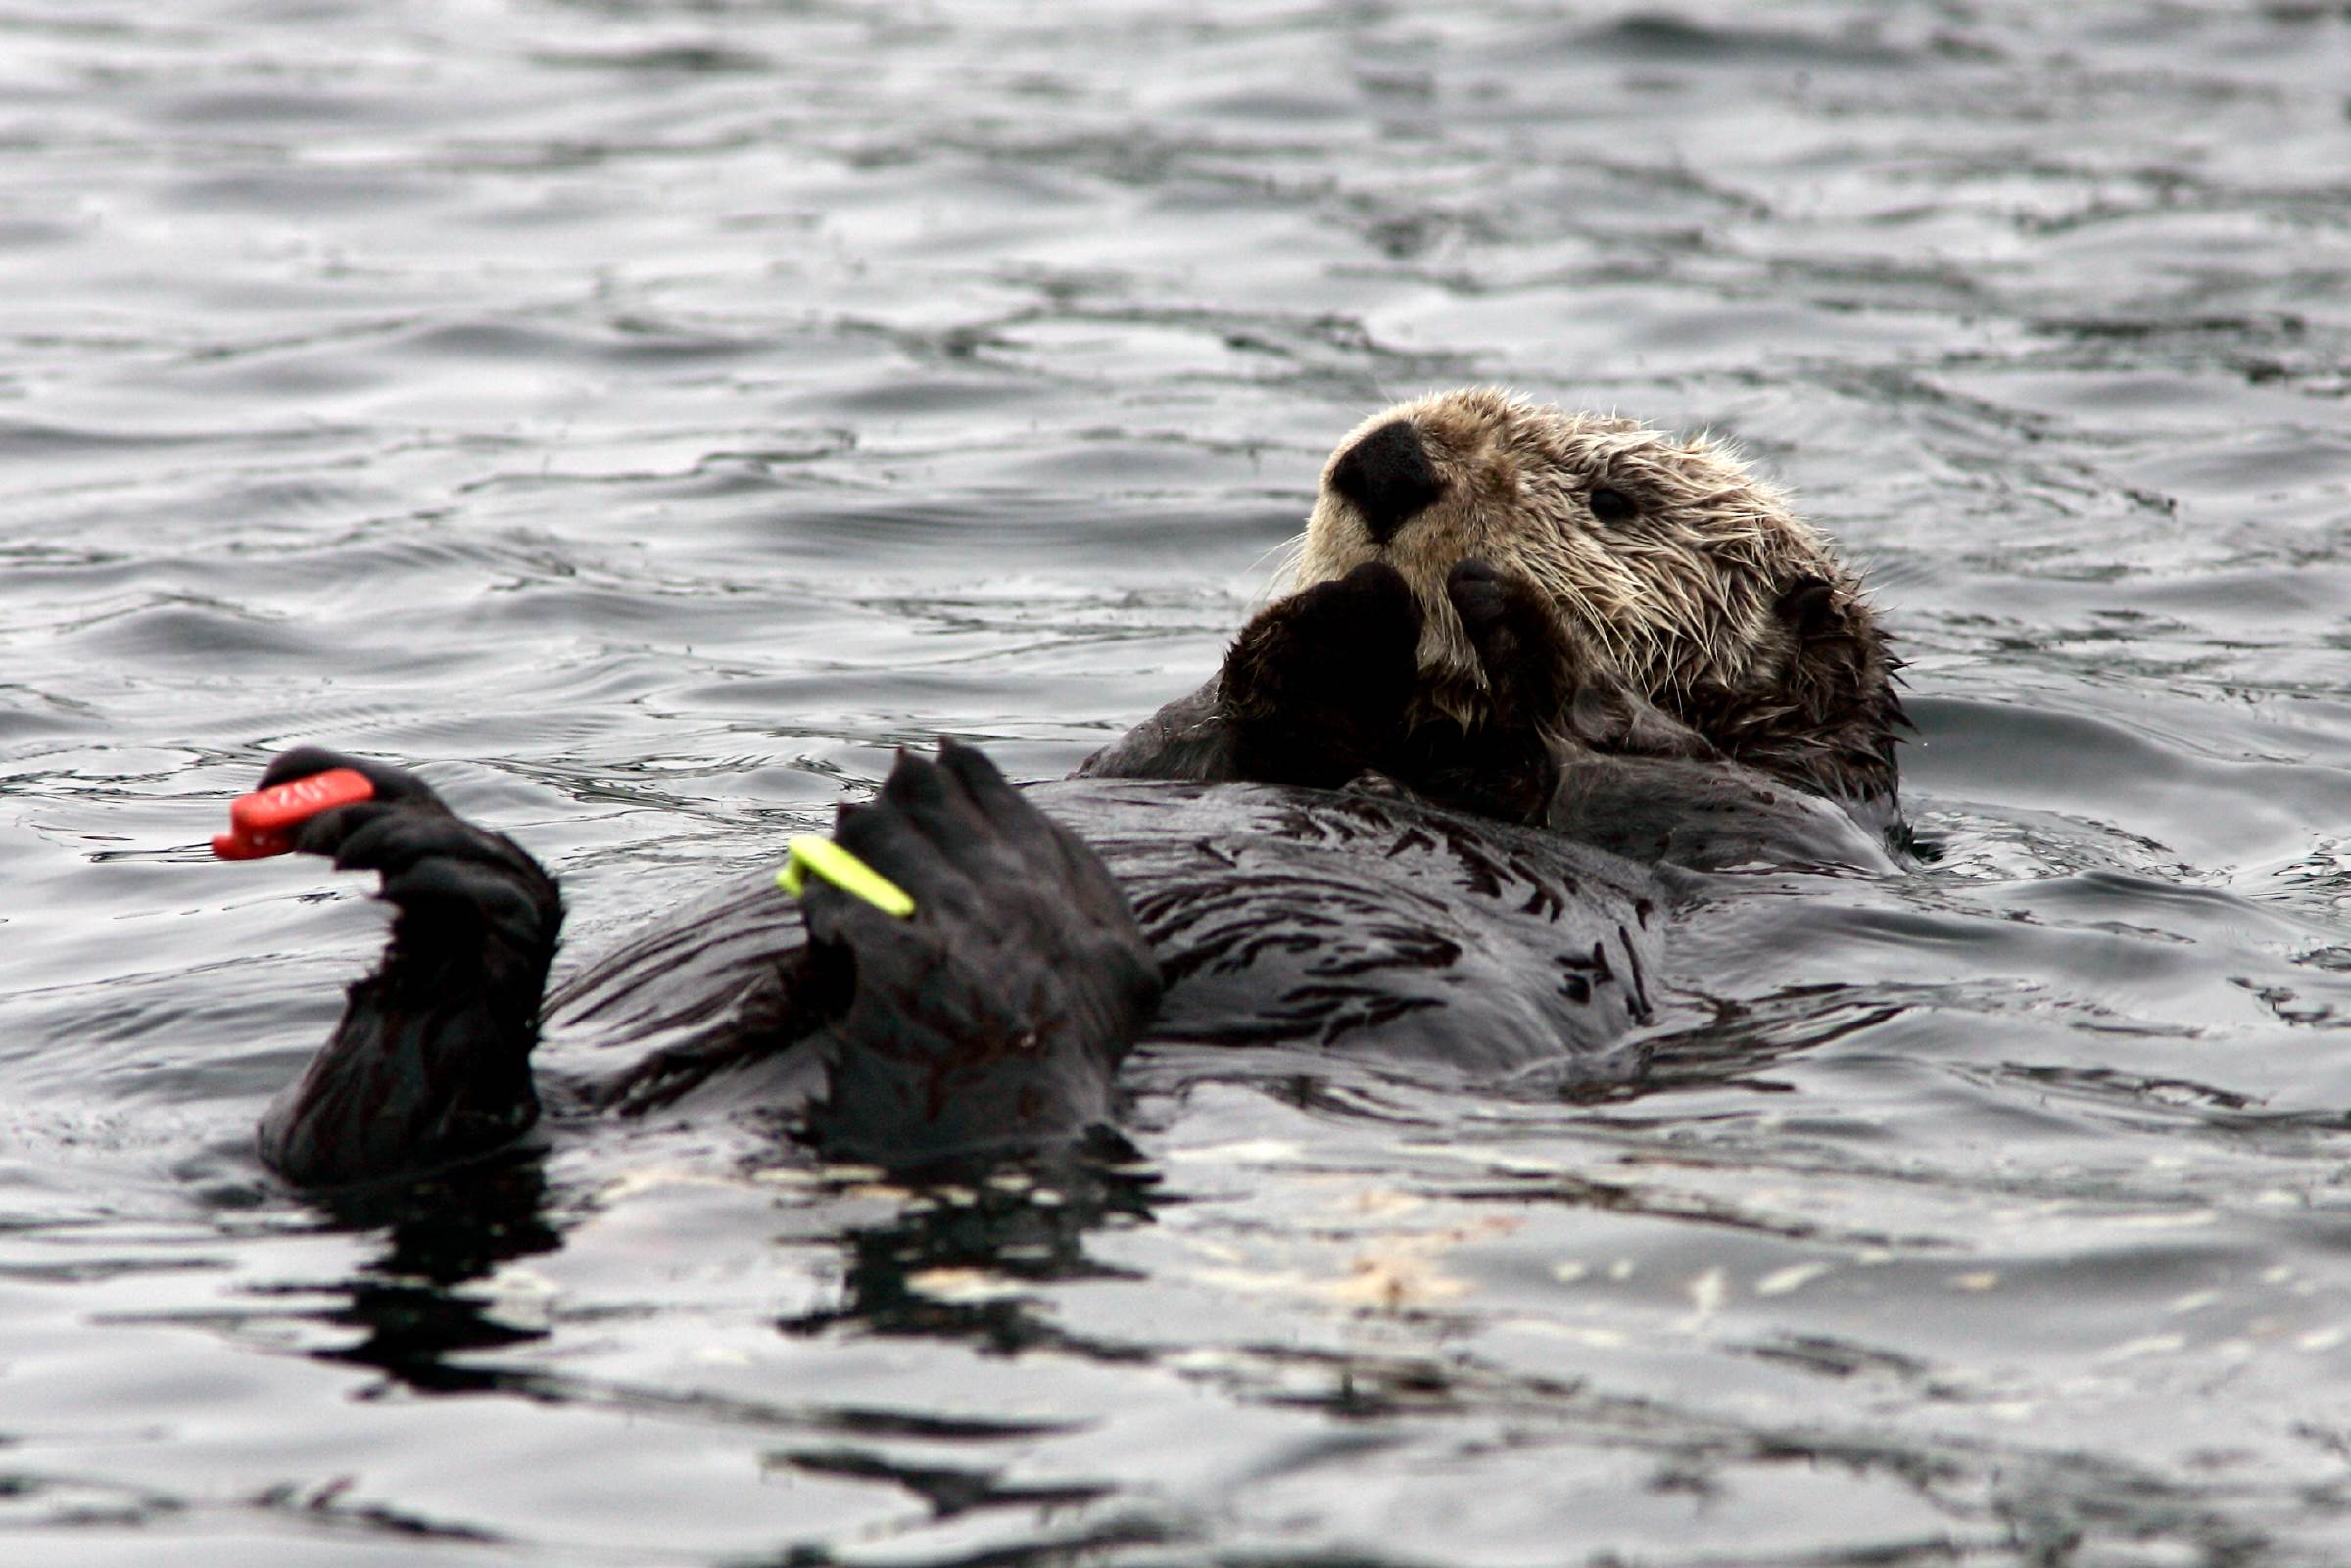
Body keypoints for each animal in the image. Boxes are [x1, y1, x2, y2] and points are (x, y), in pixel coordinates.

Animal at [227, 390, 1904, 1188]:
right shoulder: (1187, 743)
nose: (1390, 457)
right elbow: (1184, 742)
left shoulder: (1795, 829)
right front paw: (1323, 625)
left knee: (988, 1101)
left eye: (1614, 497)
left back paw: (959, 879)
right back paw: (446, 886)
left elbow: (1654, 782)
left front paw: (1512, 645)